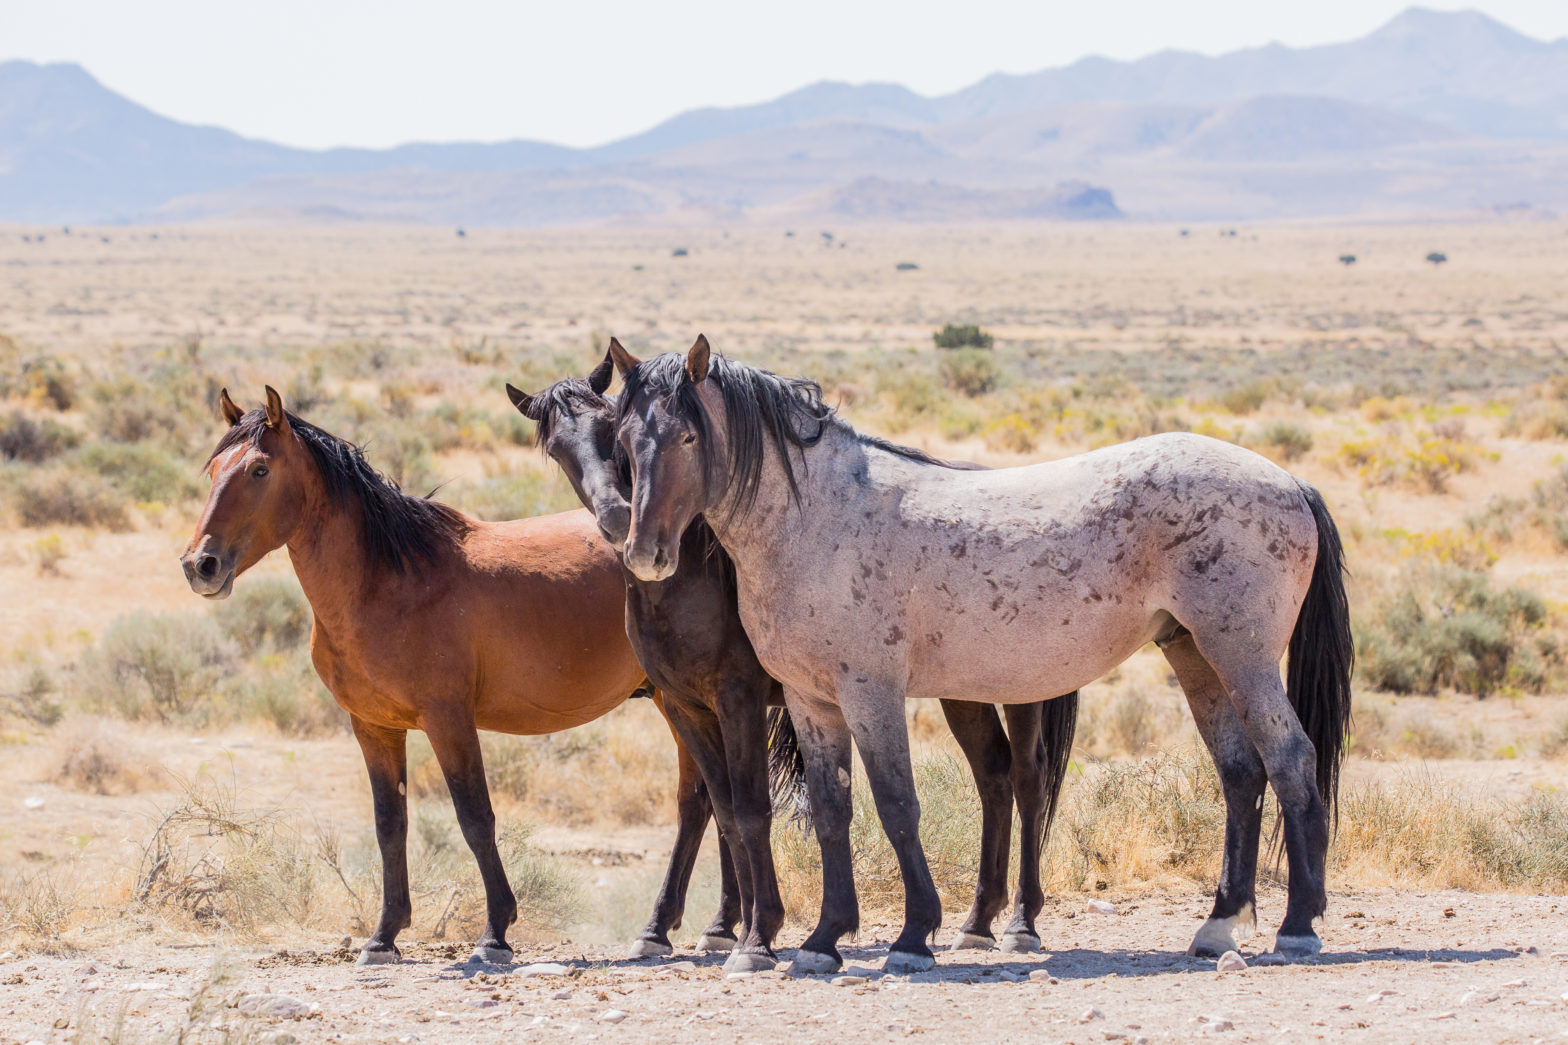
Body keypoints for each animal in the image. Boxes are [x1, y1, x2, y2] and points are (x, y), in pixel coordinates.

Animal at [180, 385, 752, 966]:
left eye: (258, 470)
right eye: (213, 470)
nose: (199, 566)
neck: (387, 583)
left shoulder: (448, 721)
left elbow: (475, 818)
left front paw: (494, 932)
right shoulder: (373, 726)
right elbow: (390, 825)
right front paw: (384, 935)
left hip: (680, 699)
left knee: (699, 801)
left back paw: (679, 928)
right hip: (679, 700)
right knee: (708, 798)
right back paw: (712, 926)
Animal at [510, 348, 1079, 965]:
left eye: (609, 428)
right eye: (558, 450)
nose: (622, 523)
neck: (694, 583)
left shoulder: (738, 702)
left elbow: (748, 809)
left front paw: (756, 930)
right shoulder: (685, 707)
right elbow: (721, 809)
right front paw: (718, 926)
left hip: (1018, 689)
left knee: (1026, 779)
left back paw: (1022, 921)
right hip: (964, 693)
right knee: (993, 777)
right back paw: (978, 920)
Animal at [609, 336, 1353, 975]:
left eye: (686, 436)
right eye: (623, 440)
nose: (645, 554)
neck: (817, 516)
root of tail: (1290, 481)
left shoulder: (868, 692)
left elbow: (896, 804)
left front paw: (914, 935)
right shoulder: (810, 700)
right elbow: (830, 811)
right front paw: (823, 940)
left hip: (1242, 657)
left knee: (1291, 759)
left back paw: (1298, 926)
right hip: (1196, 656)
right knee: (1240, 772)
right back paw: (1220, 925)